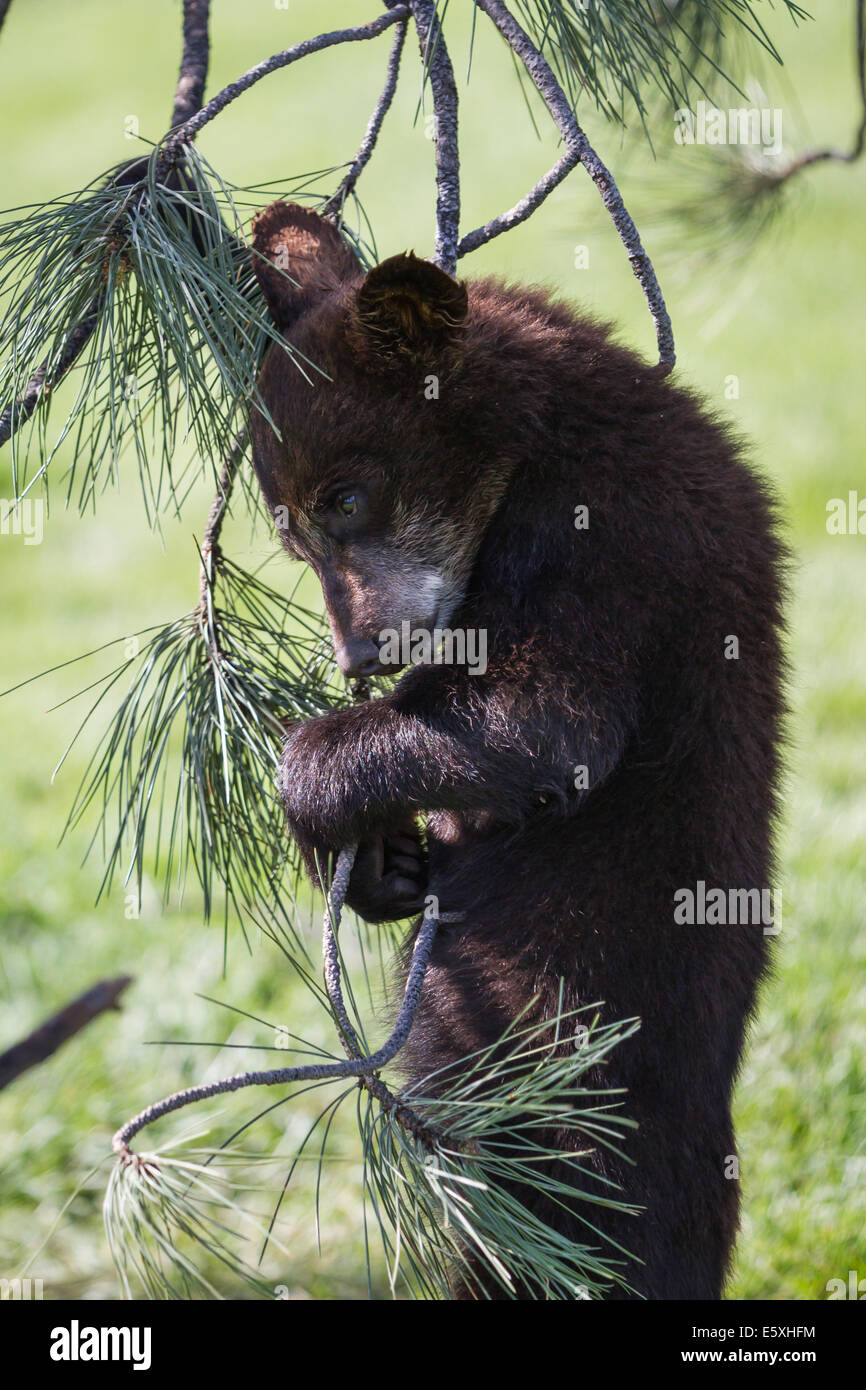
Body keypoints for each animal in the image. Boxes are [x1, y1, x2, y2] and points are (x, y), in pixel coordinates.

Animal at [247, 201, 787, 1301]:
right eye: (292, 541)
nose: (358, 655)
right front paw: (383, 863)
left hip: (558, 1065)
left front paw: (318, 790)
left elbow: (544, 725)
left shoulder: (611, 540)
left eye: (349, 498)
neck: (536, 451)